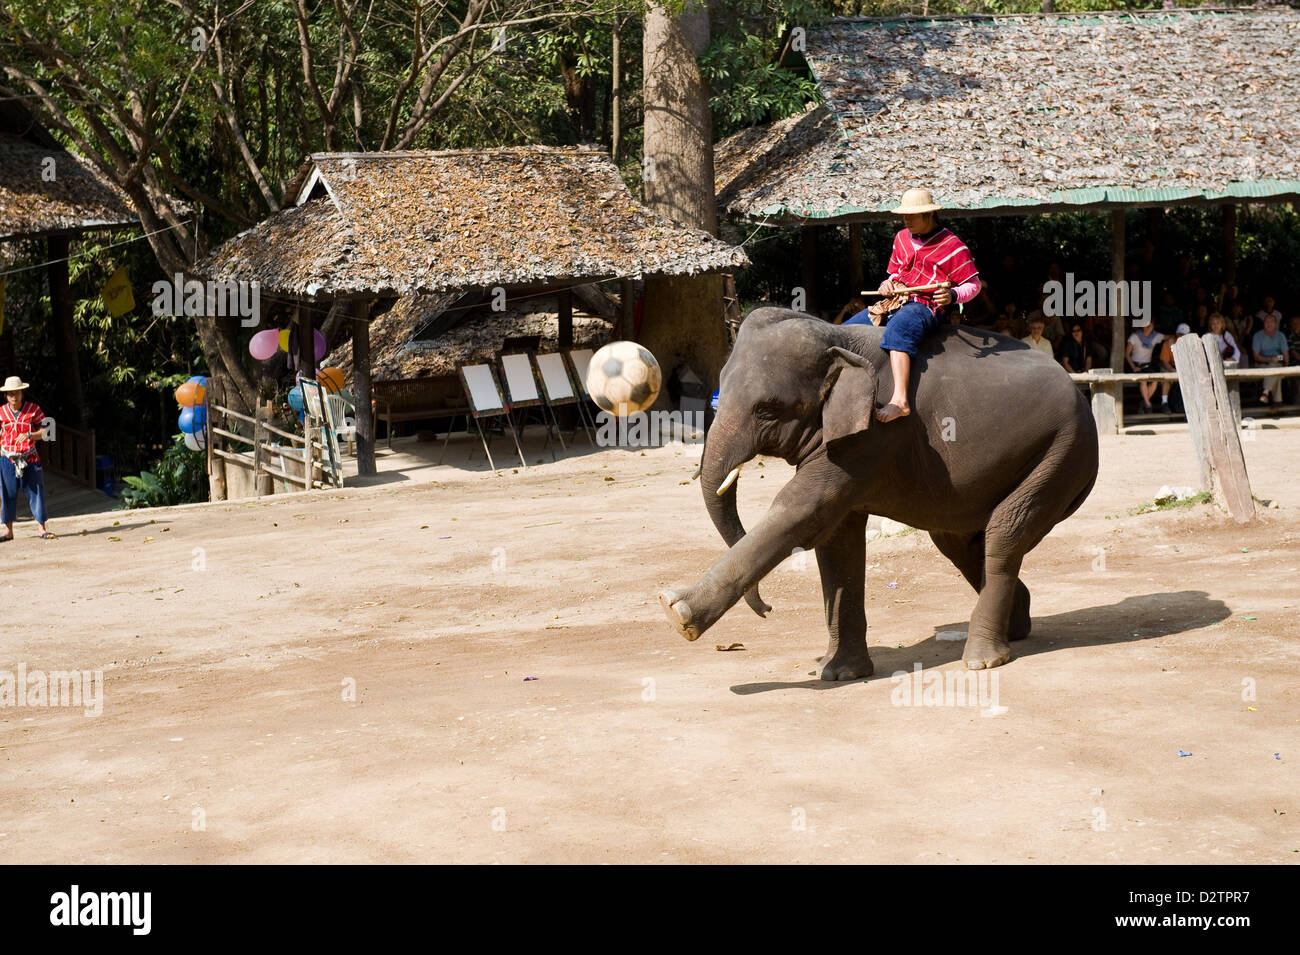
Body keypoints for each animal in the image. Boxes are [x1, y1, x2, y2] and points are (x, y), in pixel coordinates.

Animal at [659, 307, 1099, 680]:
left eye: (767, 409)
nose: (767, 610)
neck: (836, 338)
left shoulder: (875, 432)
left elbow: (802, 510)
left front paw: (676, 611)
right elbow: (836, 539)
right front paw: (839, 672)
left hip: (1063, 451)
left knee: (1004, 534)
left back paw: (982, 660)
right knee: (958, 541)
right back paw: (1017, 624)